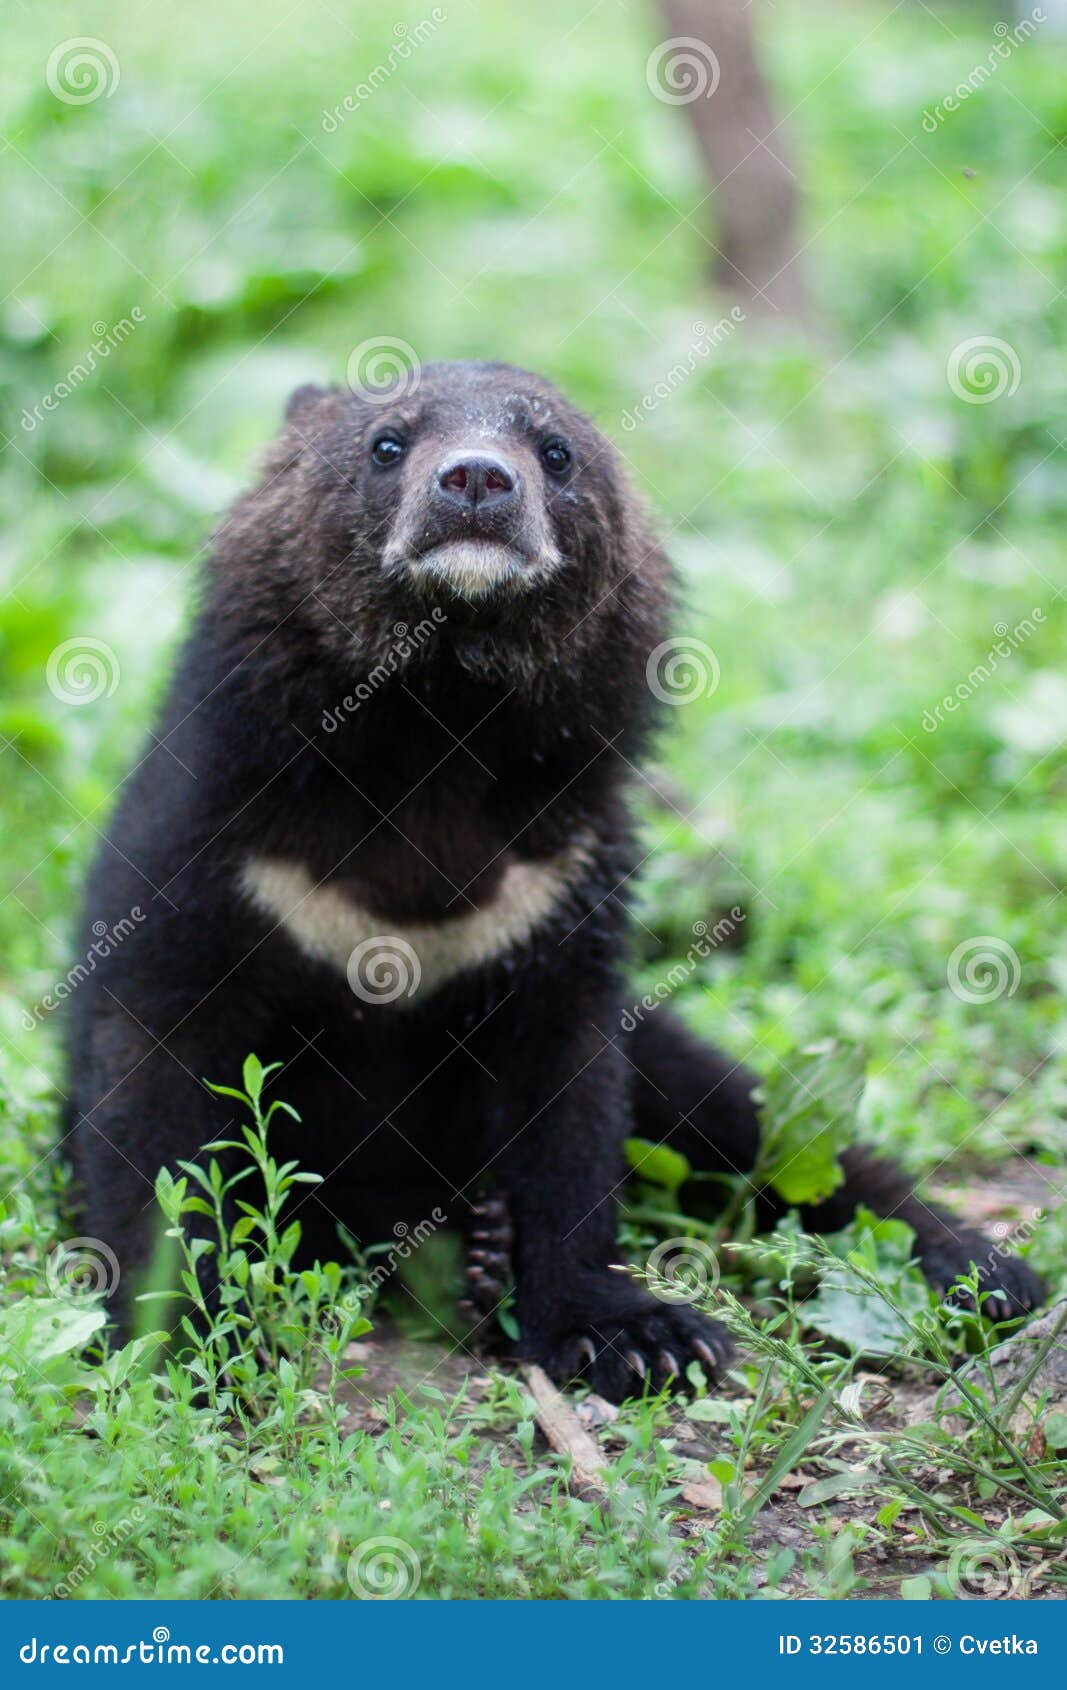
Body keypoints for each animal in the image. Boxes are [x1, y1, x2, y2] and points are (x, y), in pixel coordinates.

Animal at [66, 359, 1041, 1400]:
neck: (437, 724)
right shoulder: (219, 849)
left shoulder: (555, 886)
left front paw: (635, 1334)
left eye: (555, 452)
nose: (476, 480)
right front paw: (188, 1335)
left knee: (758, 1122)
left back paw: (979, 1267)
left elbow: (568, 1103)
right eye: (387, 443)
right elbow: (155, 1087)